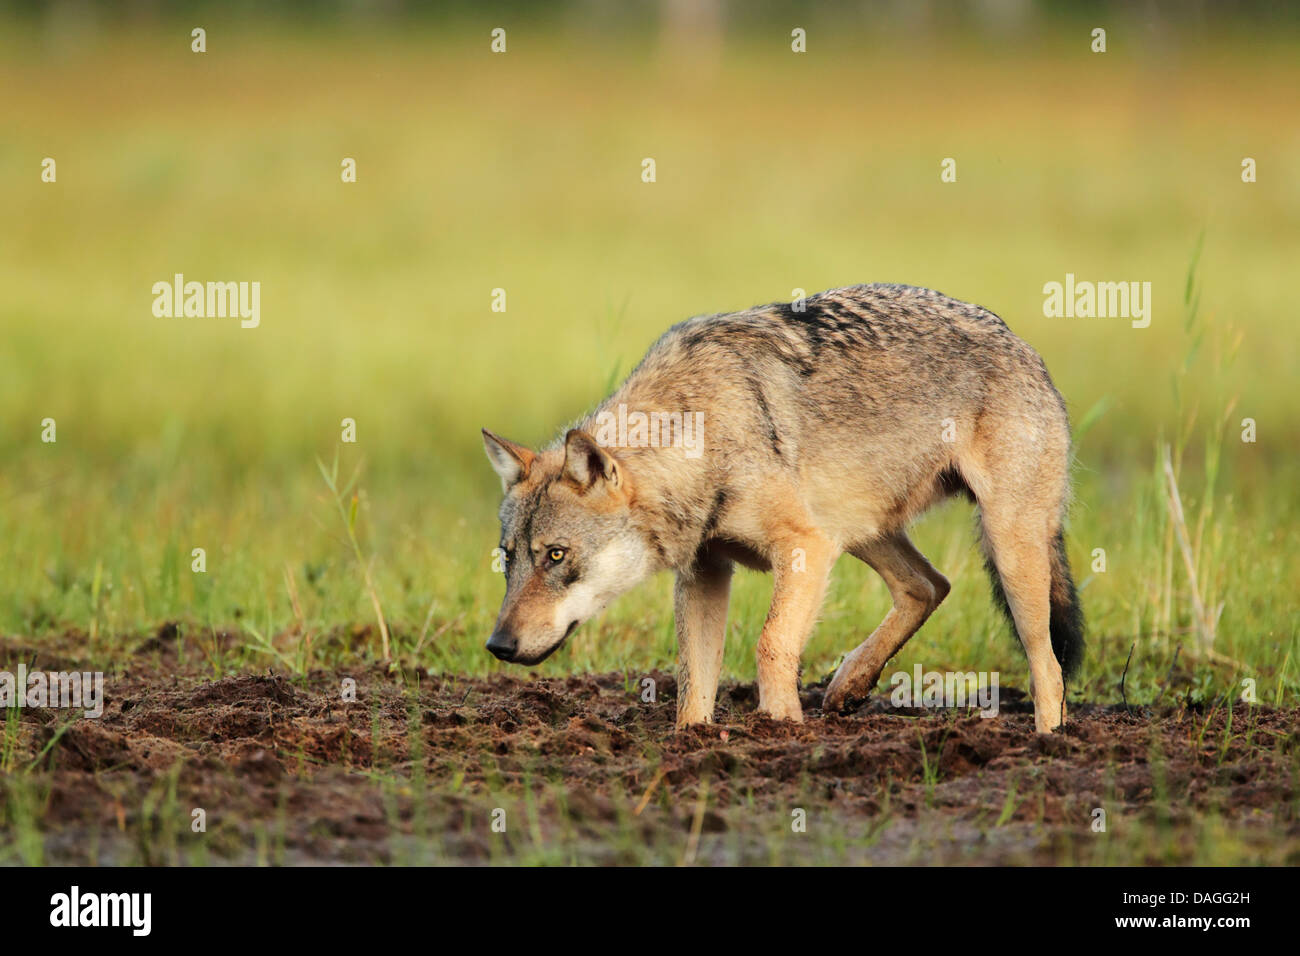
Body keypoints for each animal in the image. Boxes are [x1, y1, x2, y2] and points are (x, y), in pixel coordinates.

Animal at [483, 283, 1081, 733]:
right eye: (508, 558)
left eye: (556, 556)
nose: (497, 645)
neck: (701, 432)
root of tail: (1019, 340)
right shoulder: (706, 570)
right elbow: (694, 681)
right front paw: (694, 742)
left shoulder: (802, 548)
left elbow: (771, 645)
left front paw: (782, 728)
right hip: (857, 529)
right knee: (929, 585)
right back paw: (849, 684)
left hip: (1008, 550)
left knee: (1047, 665)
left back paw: (1051, 743)